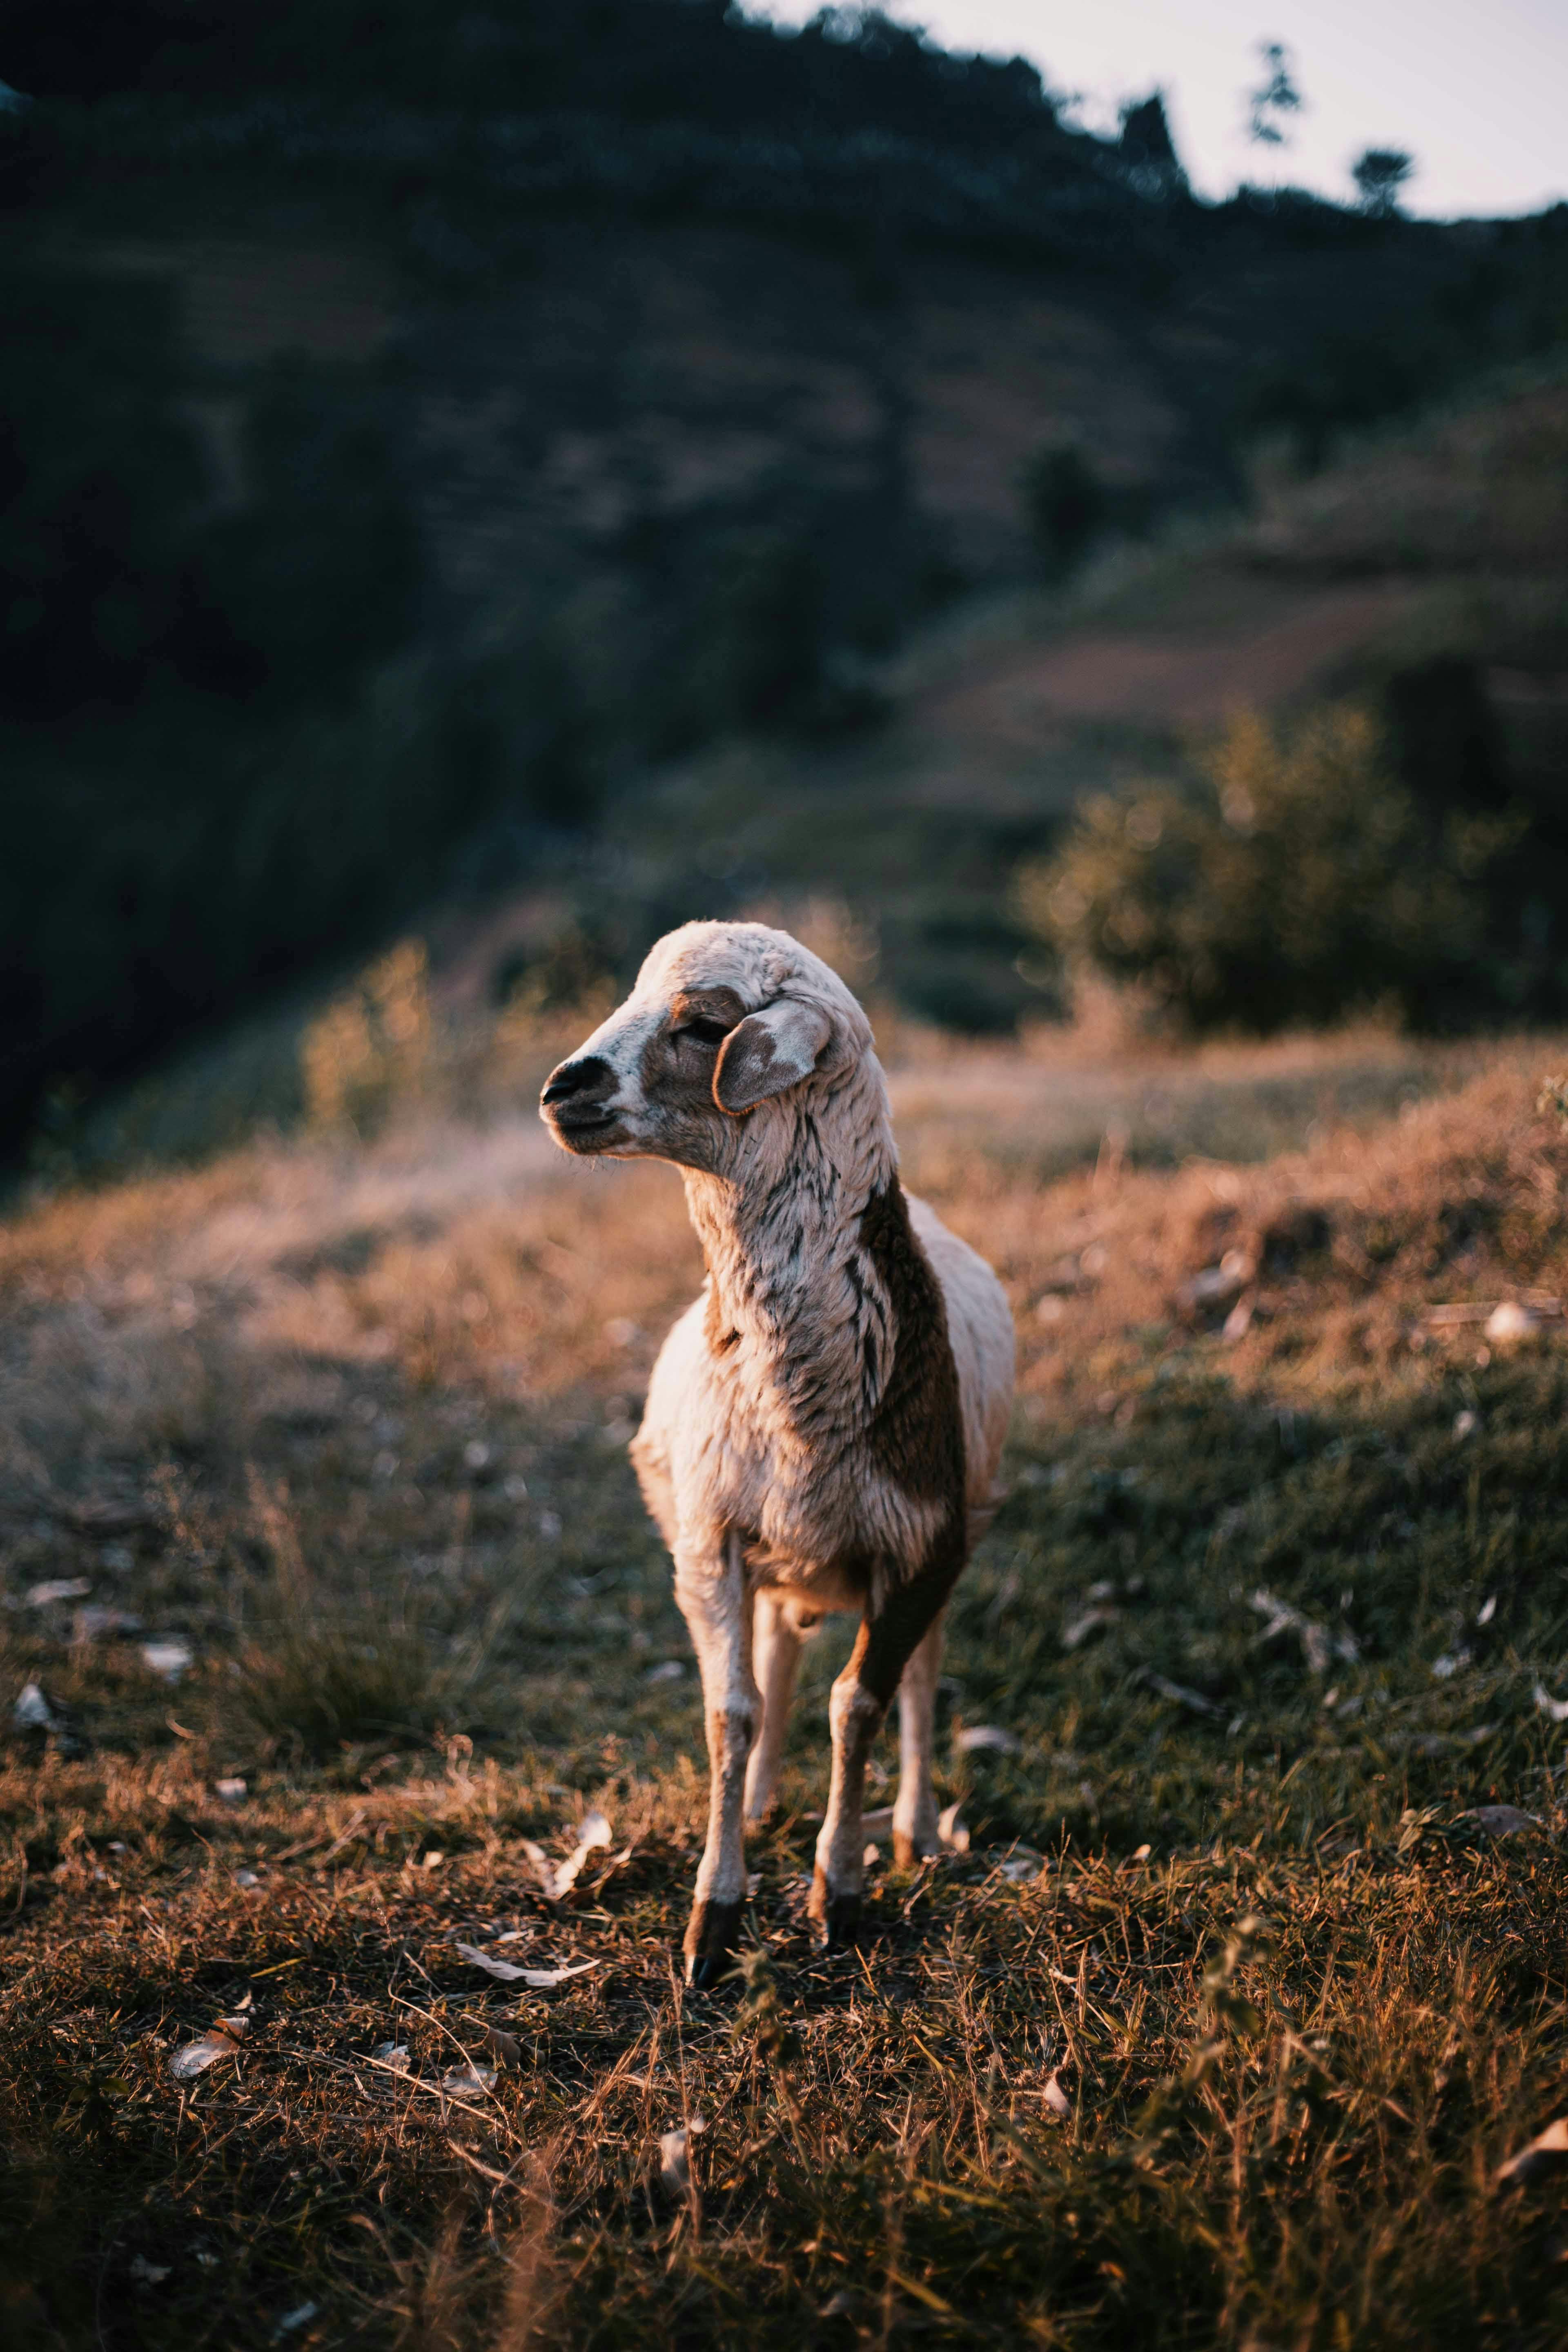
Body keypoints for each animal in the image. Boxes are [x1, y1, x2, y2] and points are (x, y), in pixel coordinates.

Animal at [540, 920, 1014, 1984]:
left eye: (704, 1023)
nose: (561, 1090)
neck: (799, 1409)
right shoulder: (707, 1544)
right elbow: (733, 1709)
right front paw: (712, 1916)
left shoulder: (921, 1548)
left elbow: (859, 1704)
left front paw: (839, 1892)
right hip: (768, 1550)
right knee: (773, 1657)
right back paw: (757, 1801)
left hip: (943, 1539)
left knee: (919, 1677)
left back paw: (918, 1826)